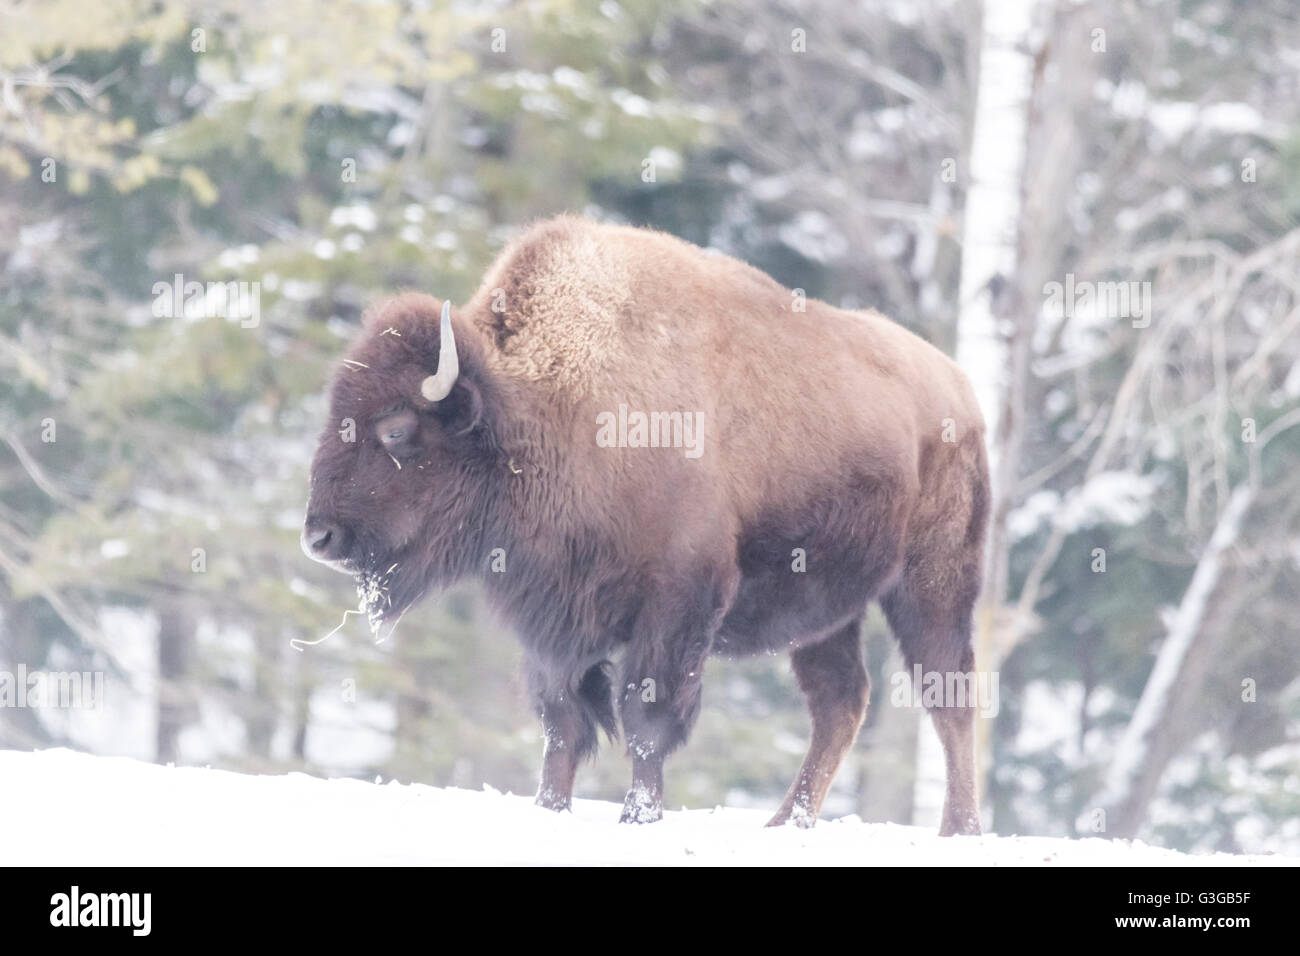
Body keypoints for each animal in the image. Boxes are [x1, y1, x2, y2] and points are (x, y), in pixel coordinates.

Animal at [303, 215, 988, 834]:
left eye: (397, 430)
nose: (319, 537)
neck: (540, 408)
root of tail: (958, 387)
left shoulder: (676, 606)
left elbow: (646, 717)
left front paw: (639, 817)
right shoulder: (555, 624)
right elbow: (563, 724)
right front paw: (549, 810)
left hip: (933, 584)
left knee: (947, 693)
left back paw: (958, 828)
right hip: (828, 609)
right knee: (840, 703)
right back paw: (784, 825)